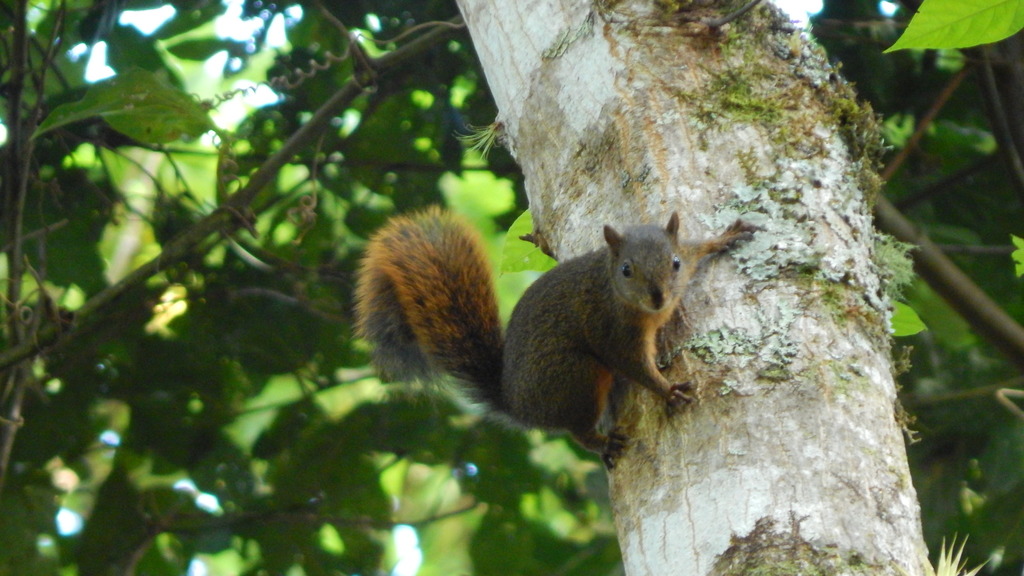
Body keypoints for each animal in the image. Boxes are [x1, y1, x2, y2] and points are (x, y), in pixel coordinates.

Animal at [354, 207, 753, 466]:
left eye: (674, 262)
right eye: (626, 270)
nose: (658, 297)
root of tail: (516, 403)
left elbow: (697, 247)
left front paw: (725, 237)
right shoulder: (611, 329)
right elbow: (632, 365)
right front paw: (667, 390)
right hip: (574, 375)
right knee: (576, 427)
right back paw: (602, 442)